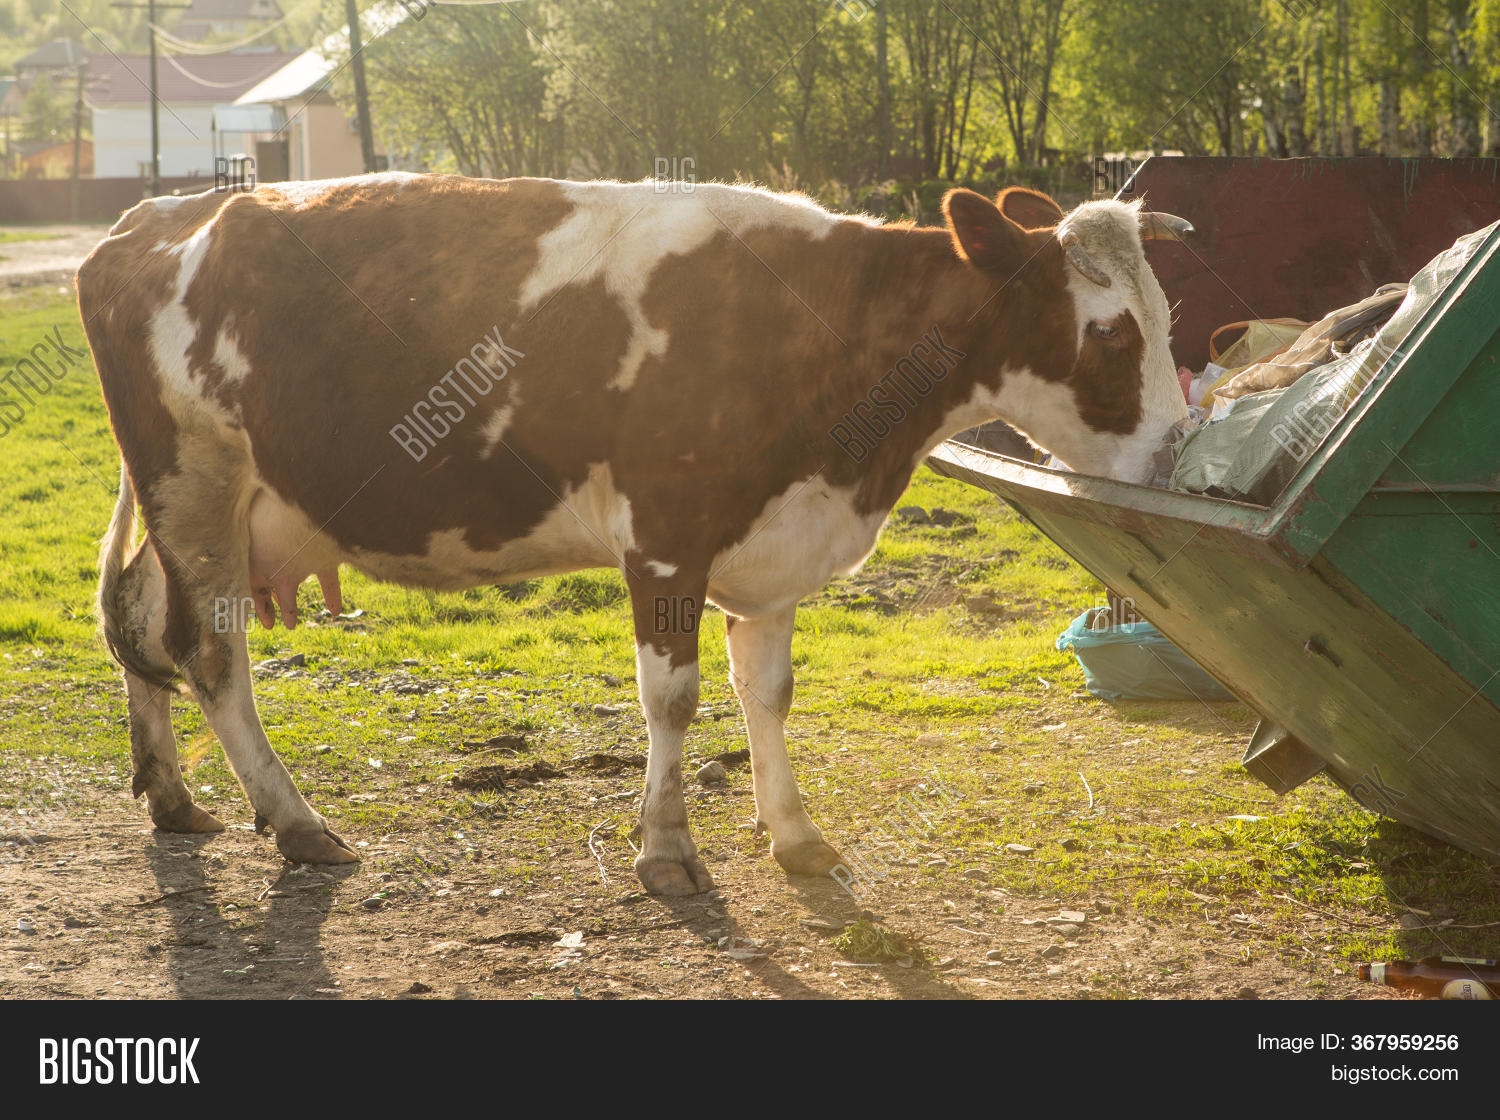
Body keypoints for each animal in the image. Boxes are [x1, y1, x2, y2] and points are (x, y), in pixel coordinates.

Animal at [78, 173, 1191, 896]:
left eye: (1168, 318)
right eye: (1112, 332)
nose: (1175, 455)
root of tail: (153, 216)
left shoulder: (775, 546)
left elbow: (767, 692)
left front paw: (794, 834)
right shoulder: (666, 534)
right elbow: (675, 699)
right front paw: (666, 850)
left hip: (212, 500)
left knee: (138, 623)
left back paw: (172, 797)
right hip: (195, 473)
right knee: (209, 651)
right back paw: (298, 823)